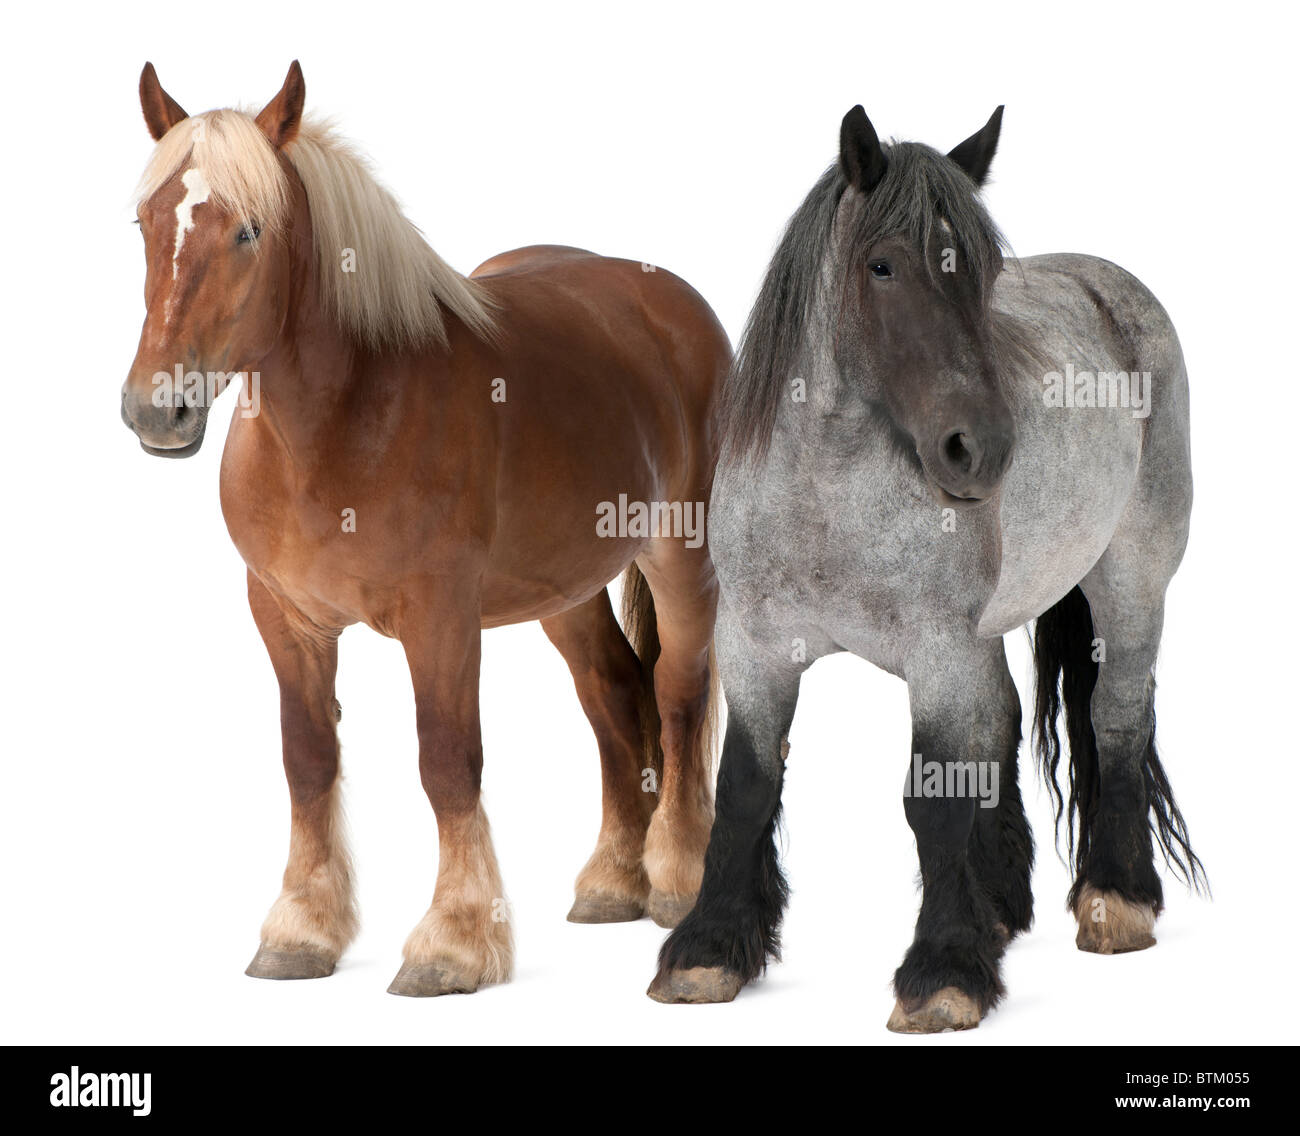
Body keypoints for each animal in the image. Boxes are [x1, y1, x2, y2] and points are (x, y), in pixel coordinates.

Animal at [121, 62, 730, 996]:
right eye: (146, 223)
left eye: (249, 230)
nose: (158, 409)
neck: (343, 420)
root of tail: (665, 300)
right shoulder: (285, 617)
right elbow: (308, 759)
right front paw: (301, 930)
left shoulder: (441, 618)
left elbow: (447, 762)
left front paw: (453, 941)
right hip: (565, 593)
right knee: (614, 696)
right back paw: (613, 879)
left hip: (680, 556)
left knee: (678, 692)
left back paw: (680, 878)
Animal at [649, 105, 1205, 1030]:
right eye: (882, 266)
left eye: (980, 274)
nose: (980, 451)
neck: (827, 493)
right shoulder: (756, 647)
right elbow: (747, 783)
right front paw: (708, 950)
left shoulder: (938, 653)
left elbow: (932, 796)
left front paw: (942, 970)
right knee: (1007, 719)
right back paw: (1002, 907)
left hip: (1131, 581)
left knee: (1119, 717)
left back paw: (1117, 899)